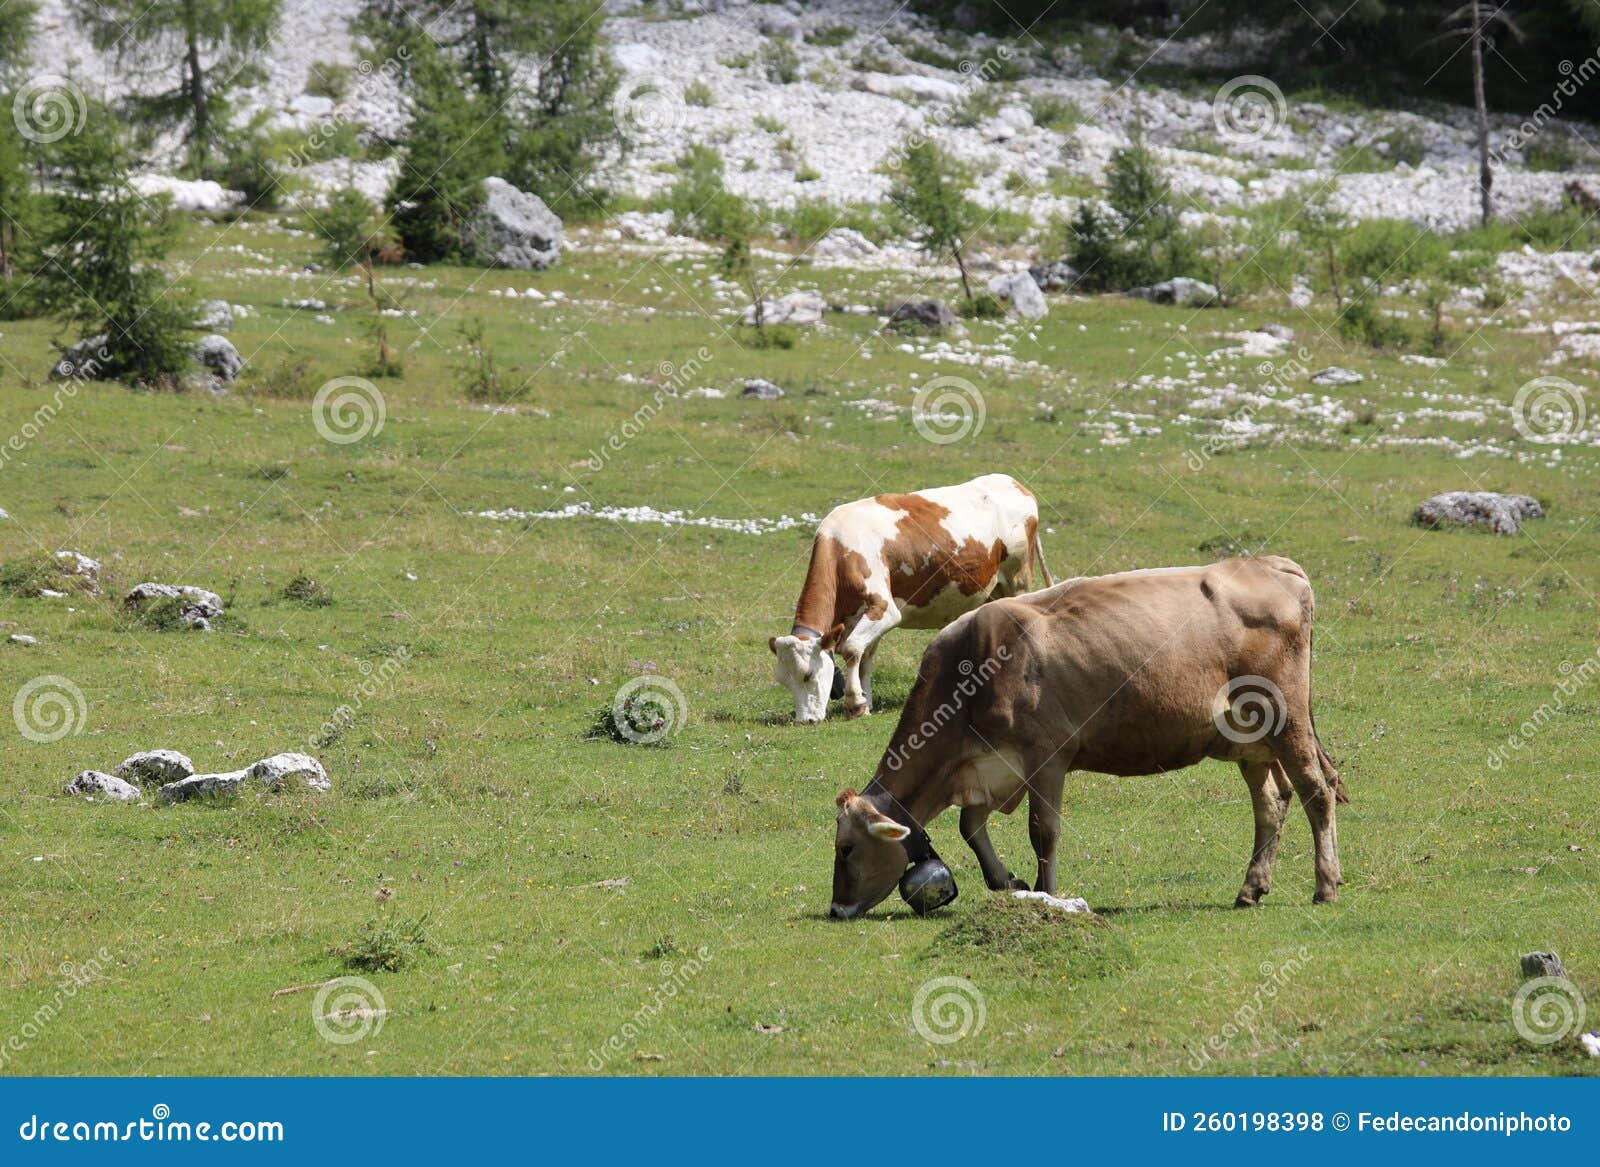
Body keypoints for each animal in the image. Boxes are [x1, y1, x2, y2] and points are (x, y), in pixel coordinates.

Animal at [770, 474, 1053, 725]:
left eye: (807, 675)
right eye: (784, 681)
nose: (804, 721)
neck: (841, 551)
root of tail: (1012, 482)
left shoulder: (884, 609)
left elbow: (850, 650)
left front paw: (855, 704)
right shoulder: (859, 616)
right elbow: (865, 657)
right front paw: (866, 701)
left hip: (1018, 578)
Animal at [827, 556, 1346, 918]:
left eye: (846, 849)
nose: (836, 909)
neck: (968, 672)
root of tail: (1270, 563)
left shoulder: (1045, 757)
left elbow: (1043, 831)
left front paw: (1047, 894)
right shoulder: (992, 767)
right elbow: (970, 826)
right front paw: (1007, 880)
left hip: (1287, 719)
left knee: (1315, 790)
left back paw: (1325, 884)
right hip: (1249, 740)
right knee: (1271, 801)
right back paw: (1251, 888)